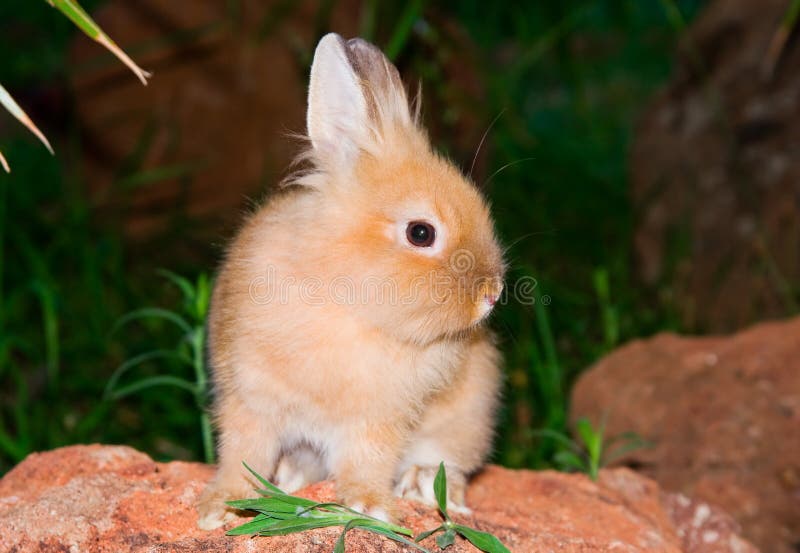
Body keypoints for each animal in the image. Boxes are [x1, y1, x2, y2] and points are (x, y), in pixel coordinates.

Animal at [196, 32, 506, 530]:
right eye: (421, 233)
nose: (492, 294)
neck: (344, 302)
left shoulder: (380, 420)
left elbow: (367, 462)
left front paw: (370, 507)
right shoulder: (250, 401)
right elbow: (242, 454)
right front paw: (219, 508)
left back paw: (426, 487)